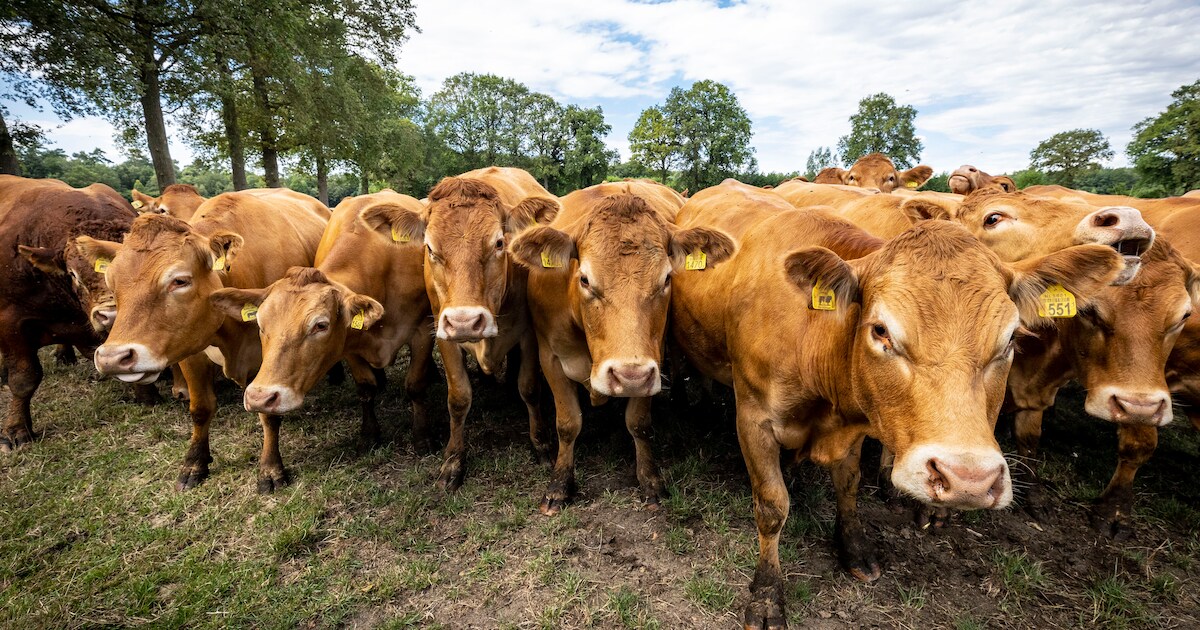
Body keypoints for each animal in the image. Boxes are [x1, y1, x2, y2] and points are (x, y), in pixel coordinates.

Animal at [80, 189, 329, 492]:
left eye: (179, 280)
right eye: (111, 281)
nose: (113, 358)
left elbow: (269, 414)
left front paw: (270, 469)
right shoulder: (191, 351)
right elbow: (200, 409)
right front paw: (194, 463)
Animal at [208, 191, 435, 451]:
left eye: (321, 325)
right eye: (261, 325)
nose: (260, 398)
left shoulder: (422, 330)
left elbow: (415, 385)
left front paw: (423, 436)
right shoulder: (348, 344)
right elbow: (365, 387)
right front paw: (369, 433)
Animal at [359, 167, 559, 491]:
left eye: (499, 243)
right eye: (429, 247)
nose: (465, 320)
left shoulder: (529, 334)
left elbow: (529, 388)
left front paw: (540, 445)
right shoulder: (444, 333)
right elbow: (458, 398)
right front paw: (453, 461)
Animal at [507, 180, 724, 514]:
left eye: (666, 279)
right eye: (584, 278)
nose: (628, 376)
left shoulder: (651, 360)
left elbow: (639, 423)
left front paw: (650, 481)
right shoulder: (550, 356)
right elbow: (567, 424)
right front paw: (559, 485)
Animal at [669, 179, 1126, 628]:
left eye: (1011, 337)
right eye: (881, 330)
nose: (968, 479)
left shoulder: (853, 426)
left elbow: (848, 483)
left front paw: (854, 547)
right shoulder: (754, 419)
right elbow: (771, 506)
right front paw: (766, 595)